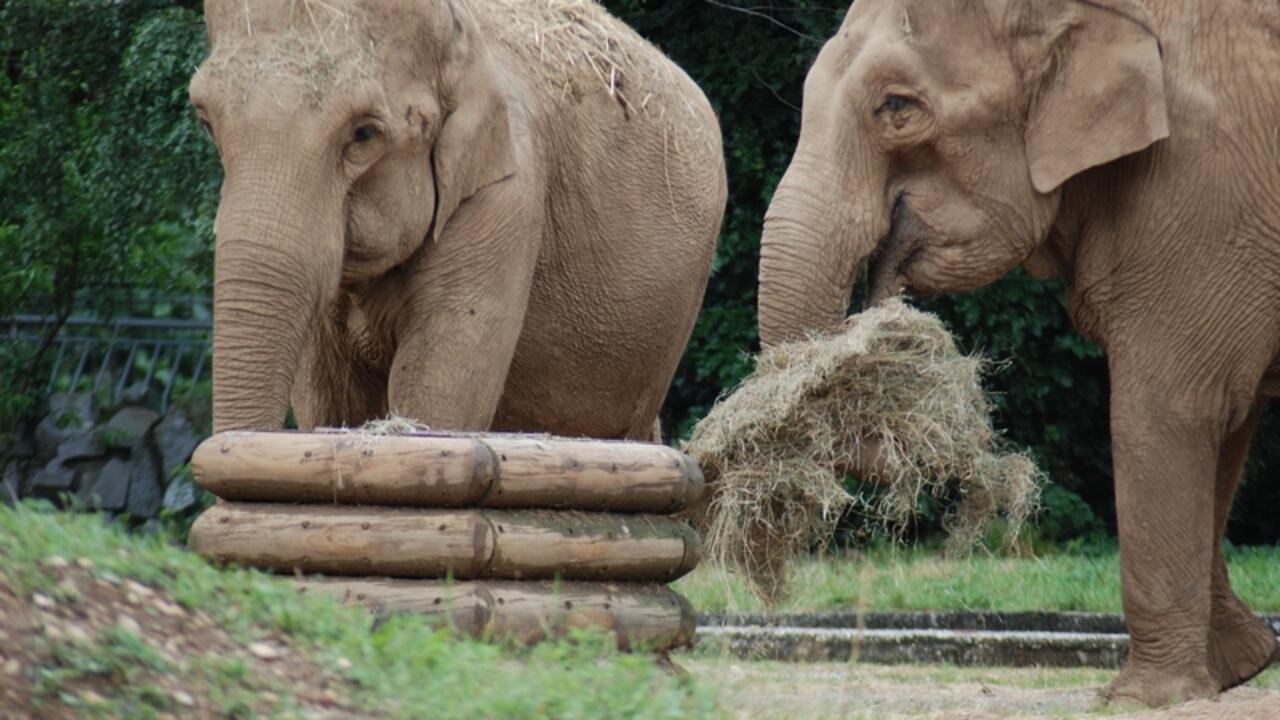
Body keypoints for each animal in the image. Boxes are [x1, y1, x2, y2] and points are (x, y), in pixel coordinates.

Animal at [188, 0, 726, 440]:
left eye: (364, 133)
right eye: (206, 121)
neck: (461, 37)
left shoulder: (508, 194)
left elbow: (437, 393)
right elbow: (328, 400)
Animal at [758, 0, 1280, 708]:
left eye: (896, 108)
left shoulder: (1202, 196)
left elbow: (1167, 410)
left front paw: (1139, 700)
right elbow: (1226, 422)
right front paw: (1237, 667)